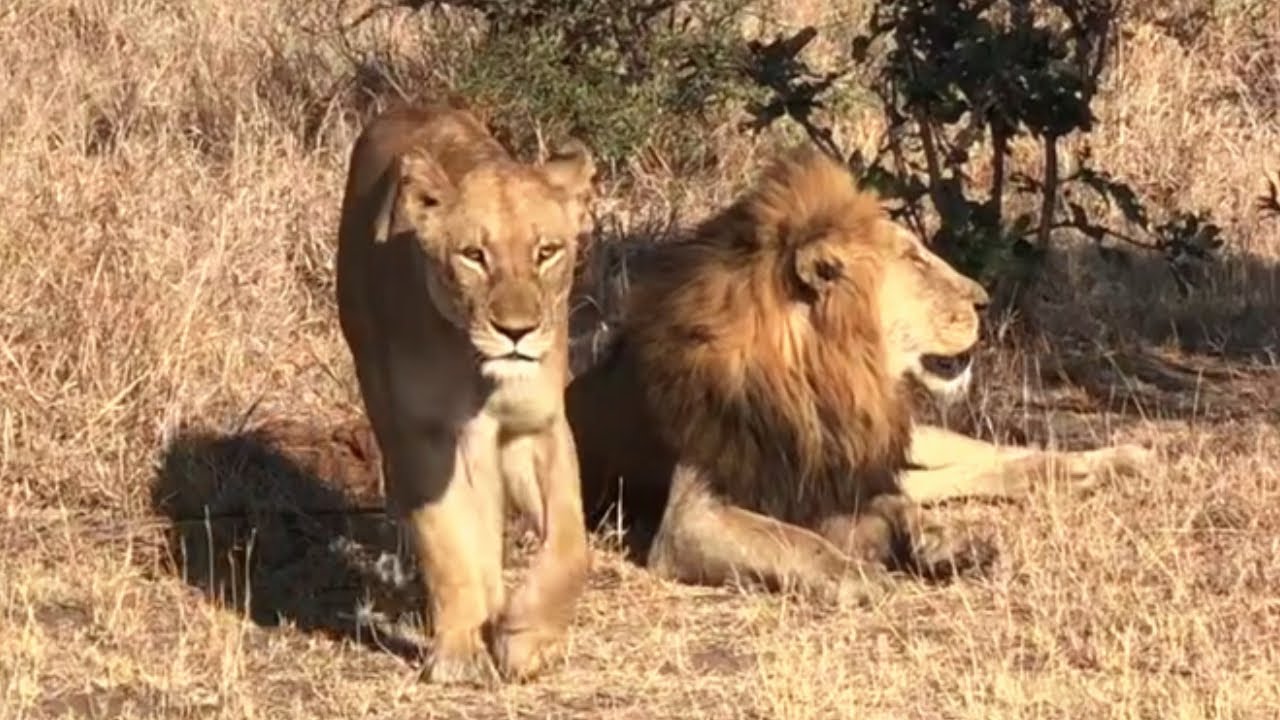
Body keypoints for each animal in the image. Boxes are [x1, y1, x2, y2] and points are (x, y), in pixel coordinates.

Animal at [335, 99, 596, 686]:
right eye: (473, 255)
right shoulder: (424, 434)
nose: (517, 332)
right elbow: (446, 544)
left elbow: (572, 545)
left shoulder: (538, 423)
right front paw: (458, 654)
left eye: (547, 251)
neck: (477, 371)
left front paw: (525, 634)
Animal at [565, 146, 1152, 598]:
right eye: (914, 261)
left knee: (998, 457)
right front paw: (865, 575)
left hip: (915, 440)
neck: (824, 377)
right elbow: (801, 542)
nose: (984, 301)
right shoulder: (692, 521)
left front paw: (941, 543)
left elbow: (895, 505)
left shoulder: (843, 470)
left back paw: (1120, 460)